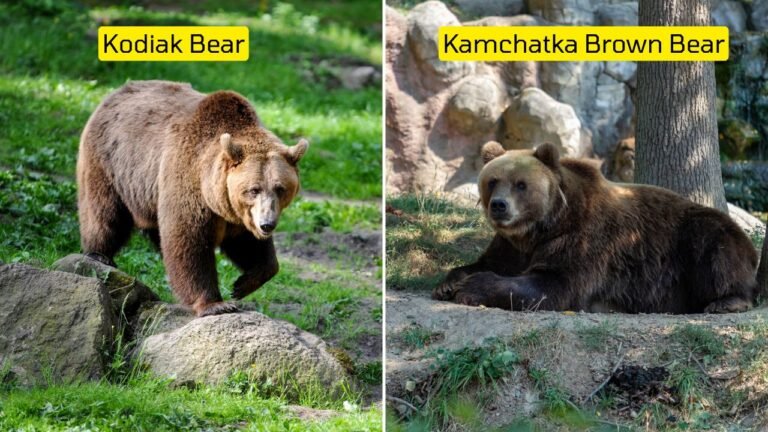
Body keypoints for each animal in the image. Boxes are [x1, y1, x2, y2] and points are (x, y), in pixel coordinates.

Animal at [77, 80, 308, 317]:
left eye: (280, 188)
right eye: (253, 189)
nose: (267, 224)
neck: (215, 195)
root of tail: (114, 93)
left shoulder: (239, 215)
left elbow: (251, 247)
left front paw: (242, 284)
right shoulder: (189, 181)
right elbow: (189, 242)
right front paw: (216, 303)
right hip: (110, 165)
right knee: (105, 214)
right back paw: (99, 254)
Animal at [432, 141, 758, 314]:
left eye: (521, 184)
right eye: (492, 180)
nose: (499, 206)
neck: (540, 228)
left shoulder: (583, 238)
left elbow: (556, 283)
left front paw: (471, 288)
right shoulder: (510, 245)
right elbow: (490, 261)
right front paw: (449, 282)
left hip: (698, 237)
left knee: (718, 255)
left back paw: (727, 301)